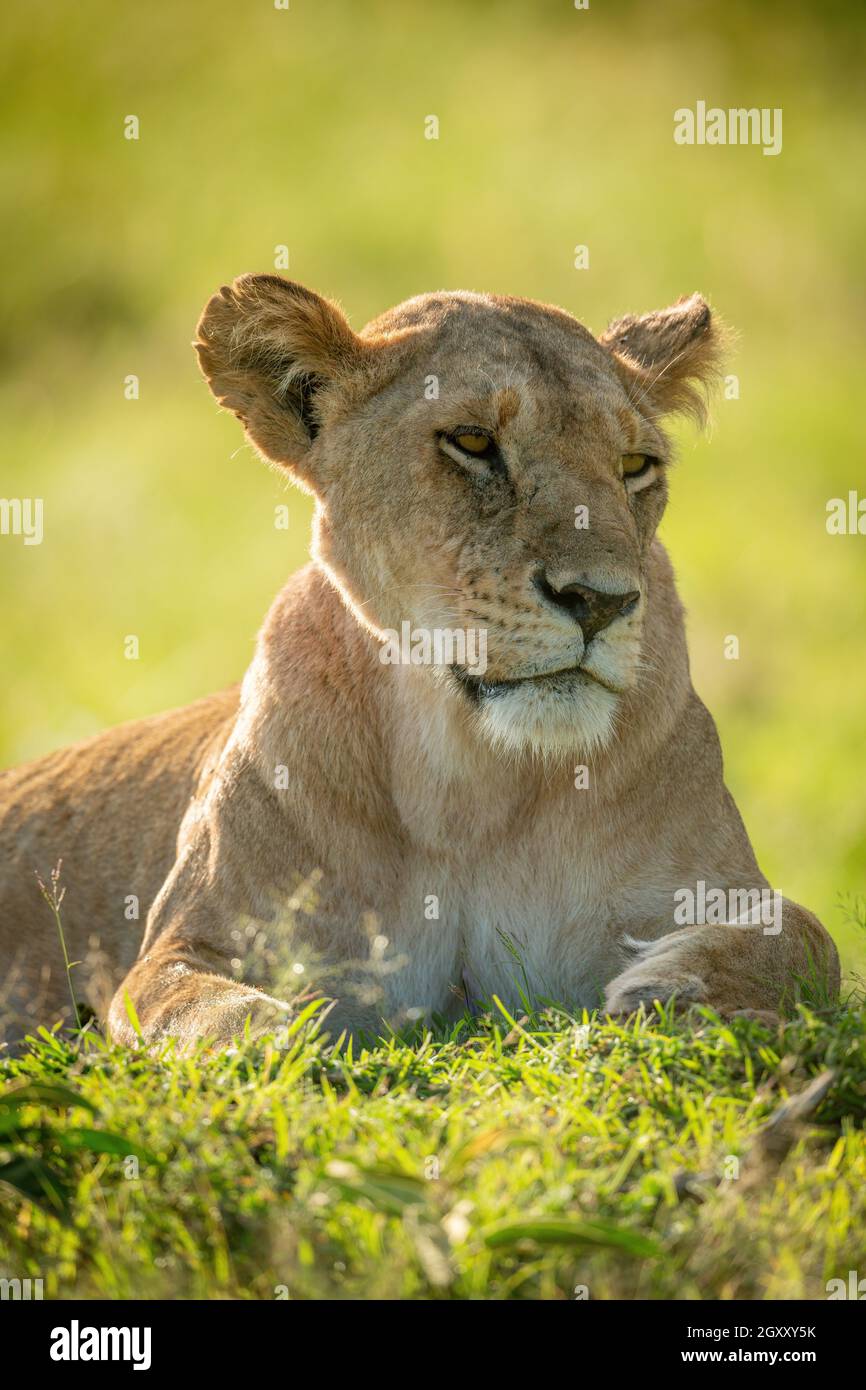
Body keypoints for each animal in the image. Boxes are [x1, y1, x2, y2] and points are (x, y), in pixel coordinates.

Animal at [0, 275, 839, 1048]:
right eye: (471, 442)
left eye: (636, 464)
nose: (601, 601)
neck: (468, 780)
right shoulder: (199, 936)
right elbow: (177, 999)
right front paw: (271, 1036)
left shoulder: (711, 889)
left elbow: (803, 938)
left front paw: (668, 987)